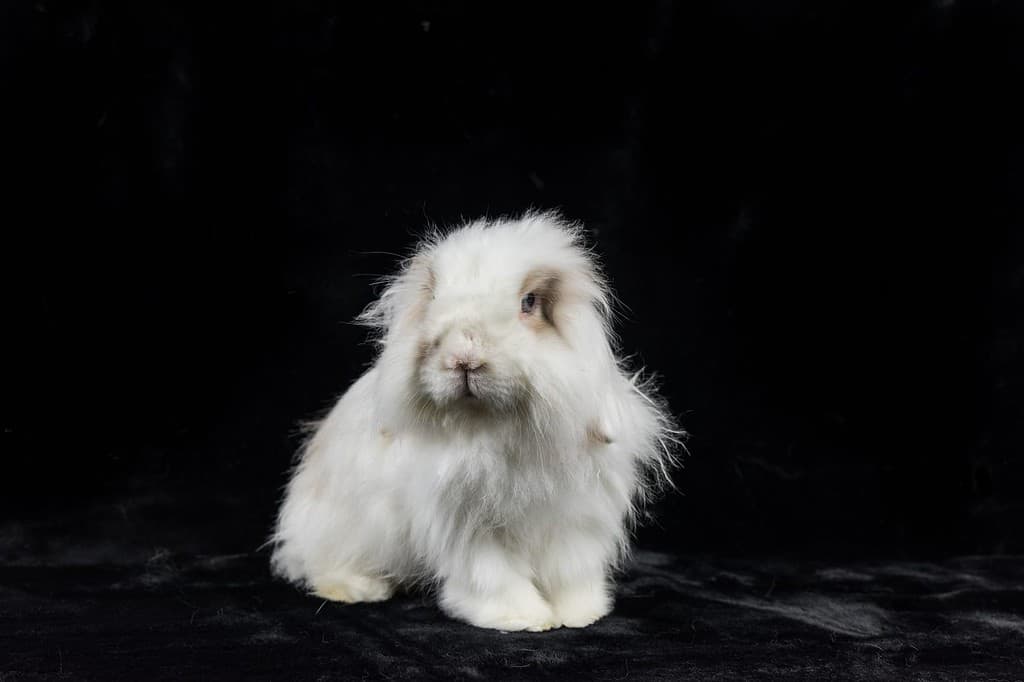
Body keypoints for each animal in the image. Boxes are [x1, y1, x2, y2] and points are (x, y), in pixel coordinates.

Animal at [270, 211, 682, 632]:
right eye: (434, 300)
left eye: (529, 302)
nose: (464, 358)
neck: (495, 428)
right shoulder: (469, 529)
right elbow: (493, 575)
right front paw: (521, 618)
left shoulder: (575, 521)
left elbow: (570, 571)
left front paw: (580, 613)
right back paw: (356, 589)